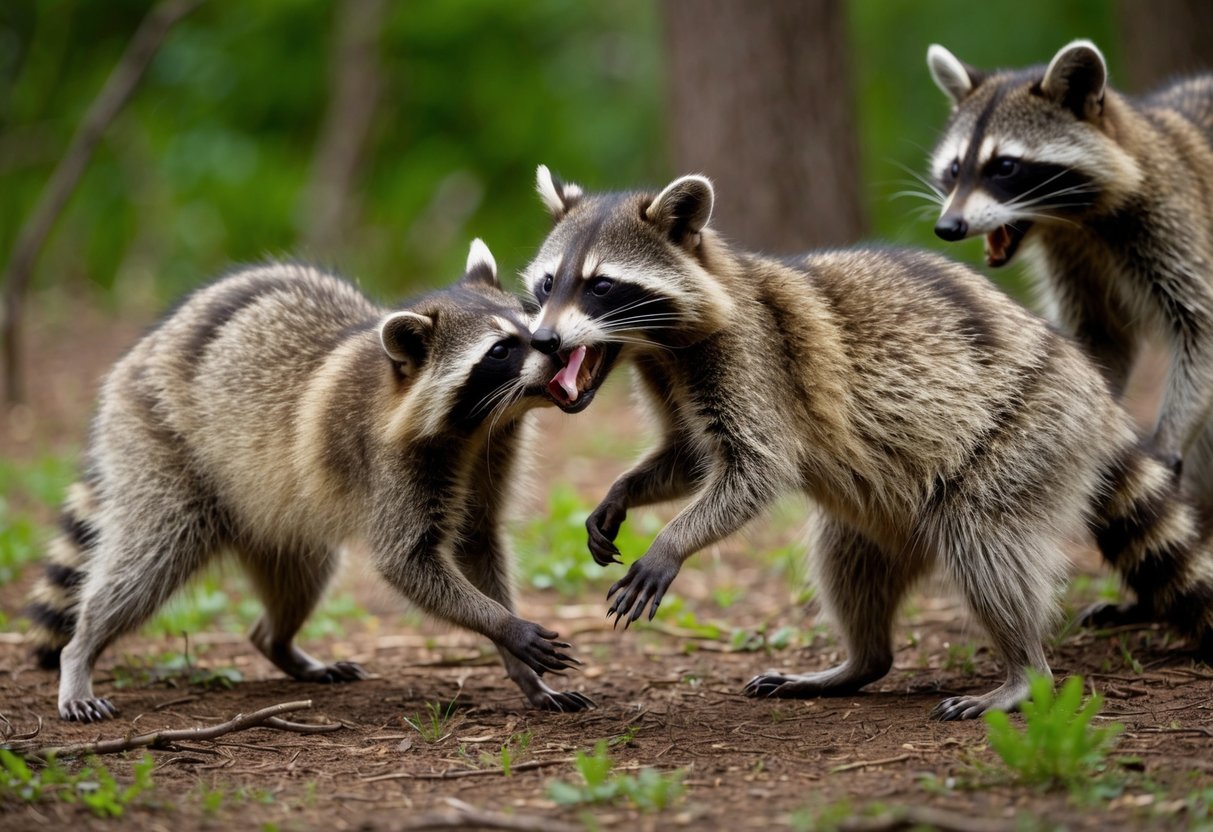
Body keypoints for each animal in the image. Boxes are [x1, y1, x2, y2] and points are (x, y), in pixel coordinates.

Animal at [25, 240, 592, 721]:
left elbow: (477, 540)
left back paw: (277, 642)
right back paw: (82, 649)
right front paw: (502, 624)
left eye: (531, 319)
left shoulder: (490, 453)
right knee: (148, 560)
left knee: (301, 576)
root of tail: (144, 348)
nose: (558, 349)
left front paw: (522, 668)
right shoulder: (391, 462)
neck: (478, 424)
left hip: (276, 517)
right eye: (500, 350)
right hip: (157, 443)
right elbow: (405, 559)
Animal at [525, 166, 1213, 719]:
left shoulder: (754, 356)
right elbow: (692, 458)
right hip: (886, 512)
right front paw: (623, 491)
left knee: (983, 538)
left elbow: (756, 469)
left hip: (1031, 427)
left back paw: (1024, 669)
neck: (657, 346)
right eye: (548, 284)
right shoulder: (666, 374)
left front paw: (672, 540)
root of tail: (1089, 383)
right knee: (849, 560)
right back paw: (862, 660)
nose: (543, 341)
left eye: (601, 286)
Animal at [925, 40, 1213, 504]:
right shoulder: (1073, 261)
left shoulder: (1173, 220)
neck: (1074, 221)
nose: (949, 227)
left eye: (1005, 166)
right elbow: (1100, 341)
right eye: (954, 169)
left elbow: (1200, 327)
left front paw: (1167, 440)